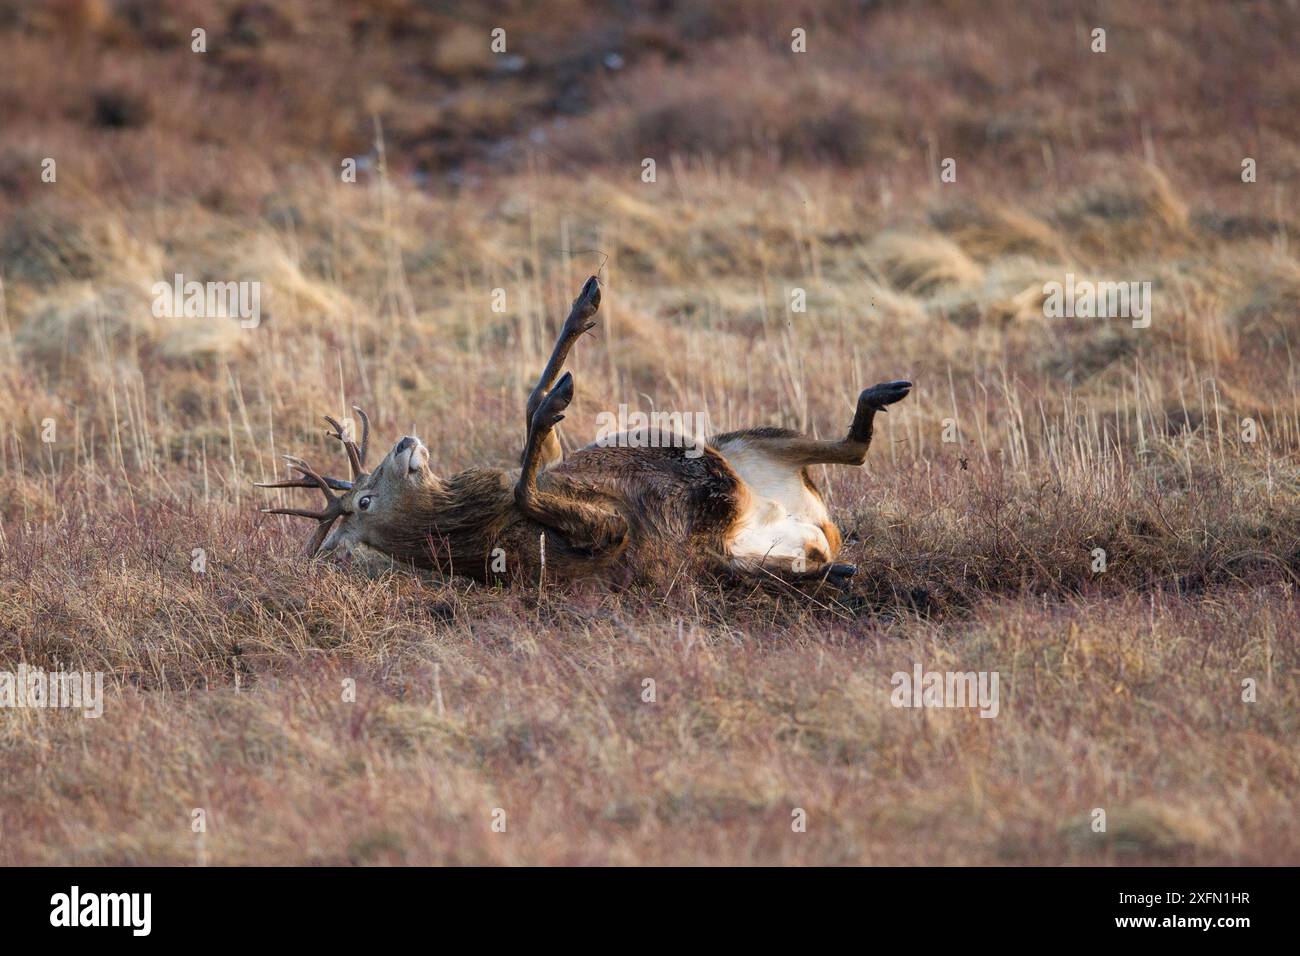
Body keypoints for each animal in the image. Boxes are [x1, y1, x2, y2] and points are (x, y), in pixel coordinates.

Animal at [258, 276, 910, 593]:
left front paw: (583, 305)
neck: (471, 525)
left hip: (744, 441)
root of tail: (819, 528)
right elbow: (528, 472)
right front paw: (558, 398)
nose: (402, 445)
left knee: (851, 450)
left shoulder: (556, 470)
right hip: (724, 520)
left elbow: (529, 419)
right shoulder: (606, 532)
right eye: (363, 500)